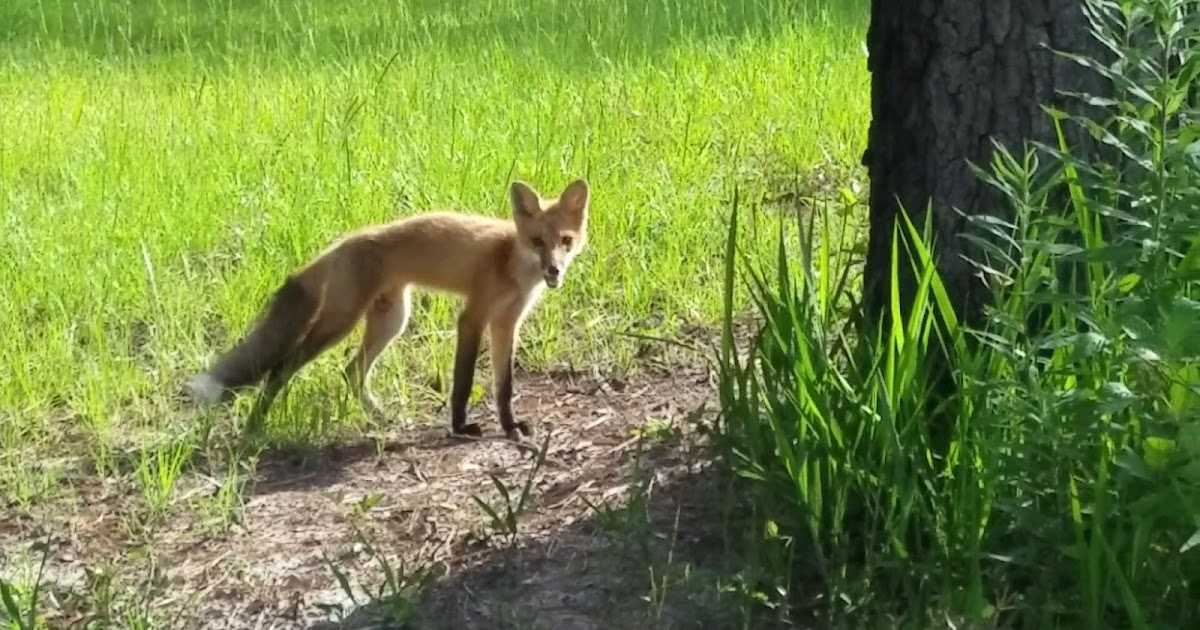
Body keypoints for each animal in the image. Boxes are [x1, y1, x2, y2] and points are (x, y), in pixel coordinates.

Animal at [185, 178, 591, 441]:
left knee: (351, 372)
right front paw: (460, 427)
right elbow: (462, 382)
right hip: (339, 323)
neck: (510, 263)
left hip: (390, 322)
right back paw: (256, 424)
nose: (553, 270)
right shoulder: (473, 319)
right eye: (537, 241)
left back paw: (381, 417)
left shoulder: (506, 324)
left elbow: (504, 387)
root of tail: (340, 244)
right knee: (281, 367)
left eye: (565, 241)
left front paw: (510, 428)